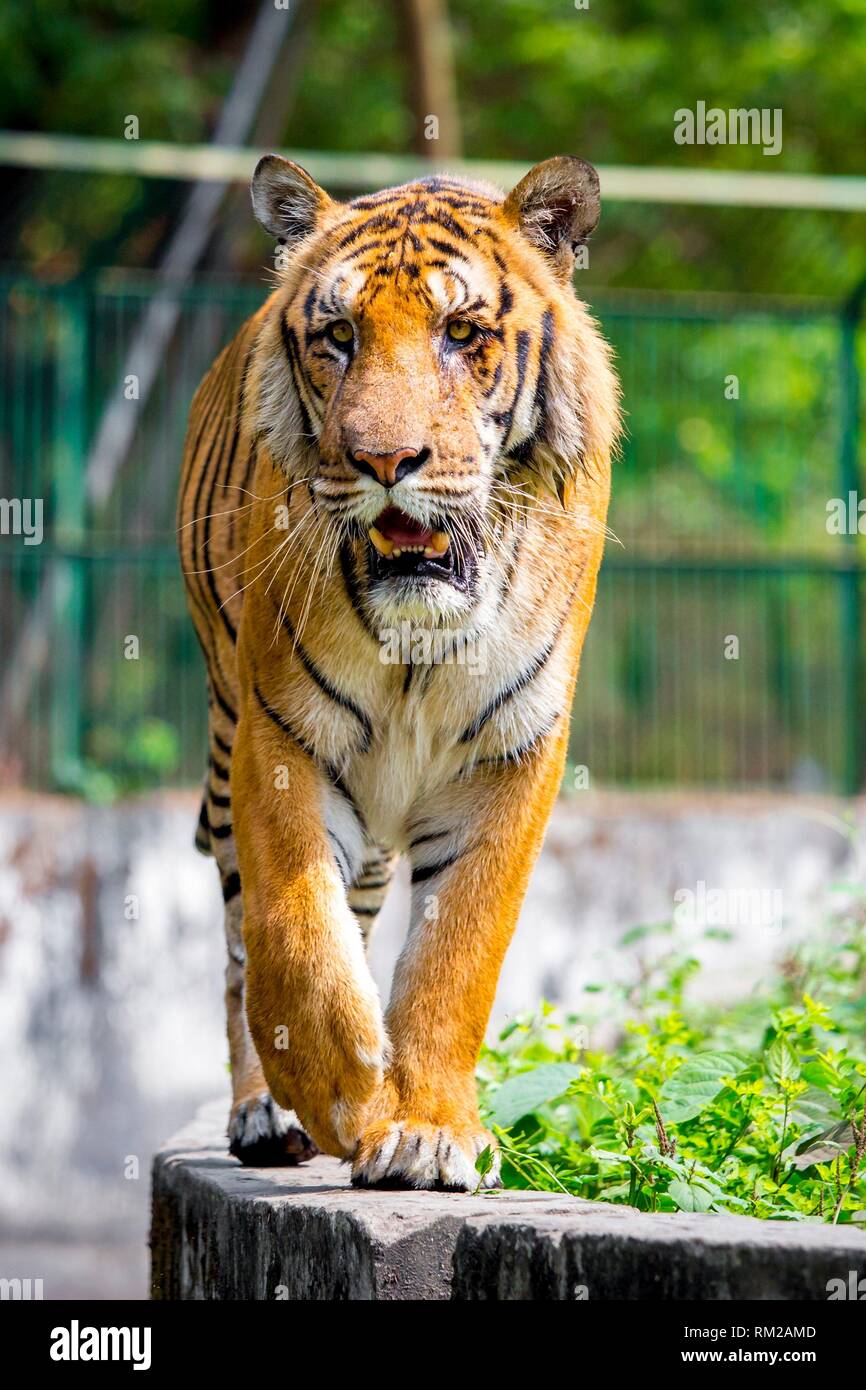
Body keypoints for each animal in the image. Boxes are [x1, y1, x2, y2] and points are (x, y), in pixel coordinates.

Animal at [177, 153, 619, 1190]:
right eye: (338, 336)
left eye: (461, 334)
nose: (386, 460)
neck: (421, 648)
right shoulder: (282, 734)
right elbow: (295, 936)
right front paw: (345, 1093)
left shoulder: (514, 753)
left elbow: (456, 953)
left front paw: (425, 1130)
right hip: (225, 738)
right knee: (240, 942)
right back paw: (267, 1115)